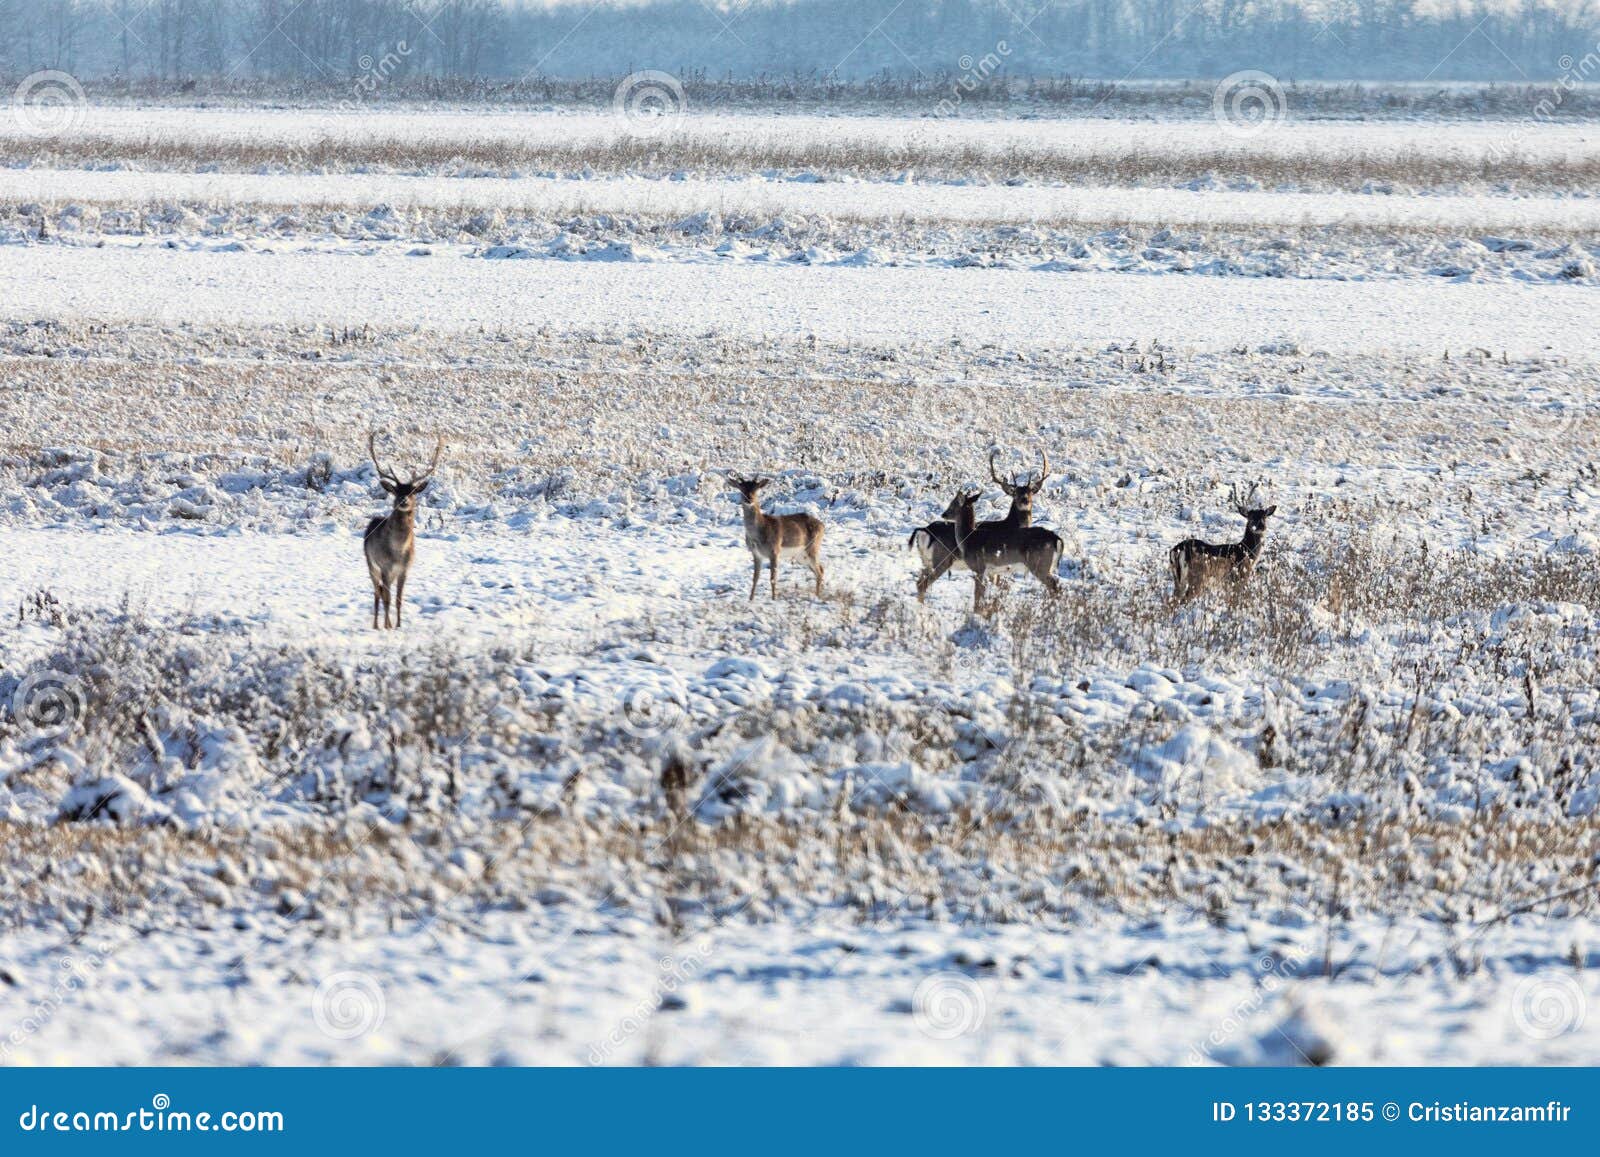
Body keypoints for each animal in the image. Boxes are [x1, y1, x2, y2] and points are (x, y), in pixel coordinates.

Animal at [364, 432, 443, 629]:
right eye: (396, 490)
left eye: (413, 491)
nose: (403, 500)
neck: (398, 551)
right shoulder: (385, 566)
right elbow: (387, 599)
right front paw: (388, 626)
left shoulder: (404, 569)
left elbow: (399, 599)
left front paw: (398, 625)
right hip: (371, 565)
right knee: (377, 593)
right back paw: (376, 625)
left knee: (382, 592)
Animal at [910, 449, 1050, 600]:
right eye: (1015, 493)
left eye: (1031, 492)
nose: (1024, 500)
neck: (1012, 525)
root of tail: (925, 530)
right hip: (941, 559)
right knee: (923, 583)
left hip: (927, 561)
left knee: (920, 581)